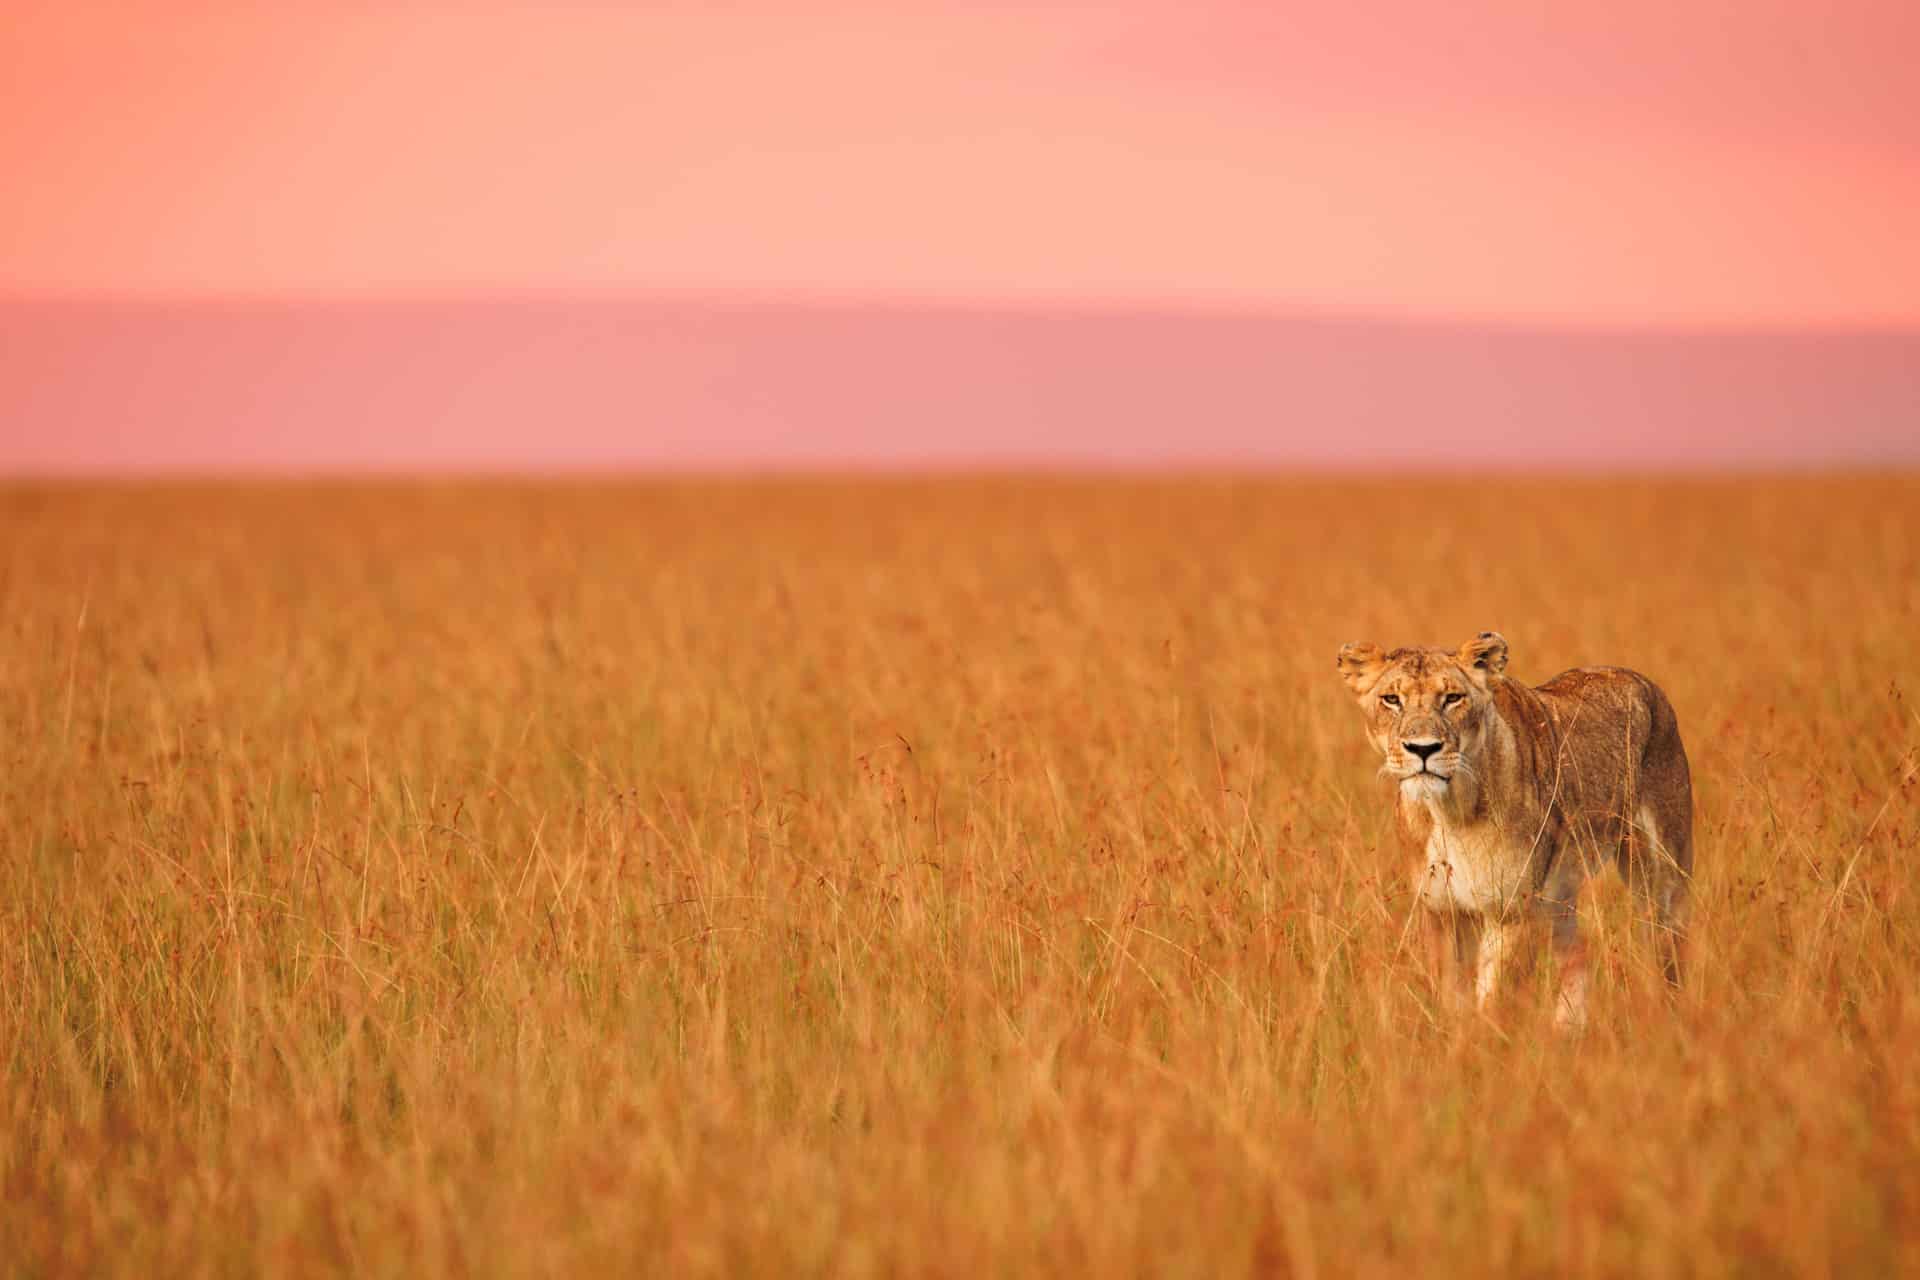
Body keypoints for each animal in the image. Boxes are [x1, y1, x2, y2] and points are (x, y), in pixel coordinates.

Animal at [1335, 631, 1693, 1029]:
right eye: (1392, 699)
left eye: (1453, 698)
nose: (1422, 749)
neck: (1448, 812)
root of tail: (1640, 679)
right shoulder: (1443, 911)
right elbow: (1452, 998)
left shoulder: (1512, 911)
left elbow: (1493, 1000)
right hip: (1558, 894)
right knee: (1579, 954)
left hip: (1661, 873)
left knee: (1665, 948)